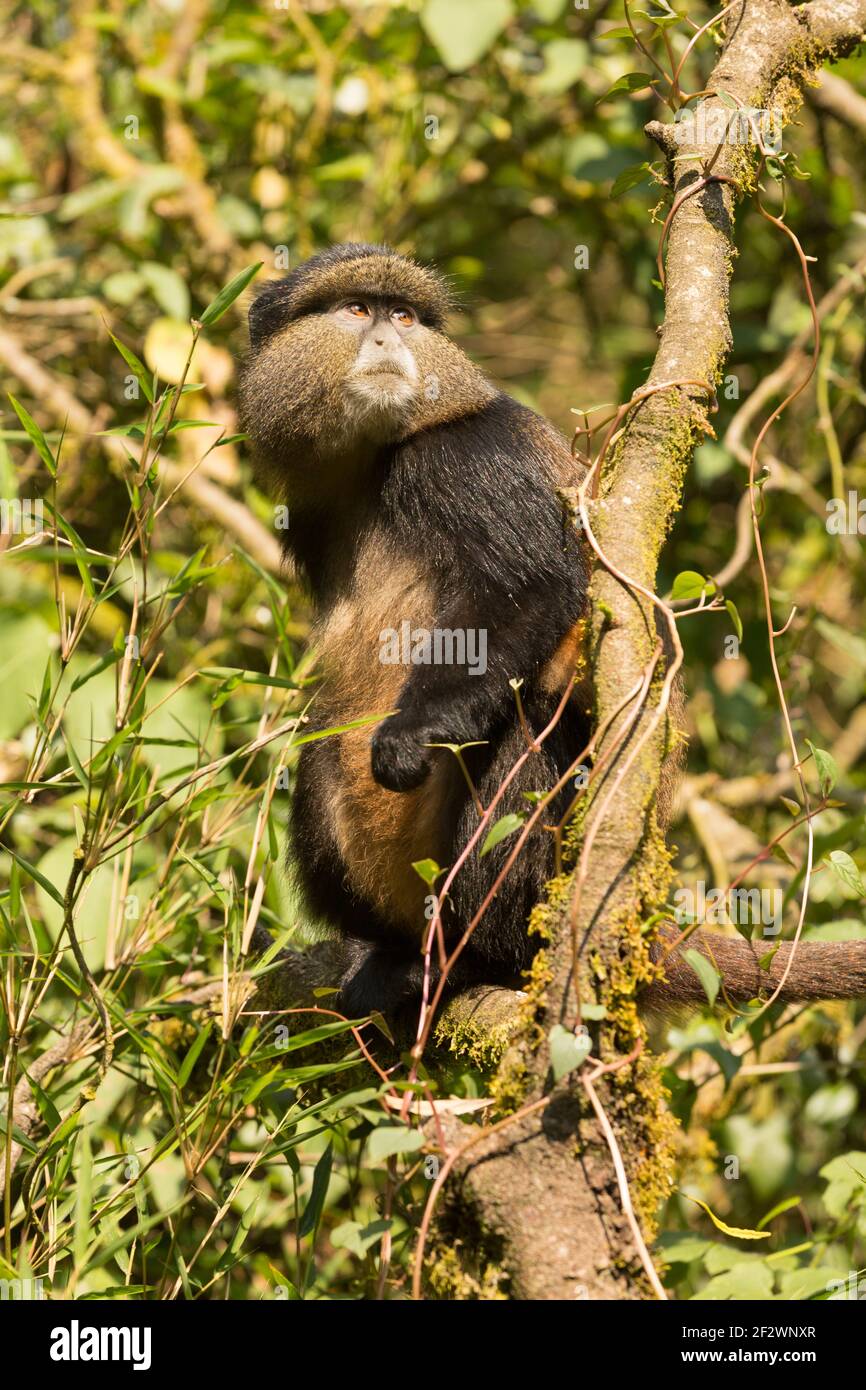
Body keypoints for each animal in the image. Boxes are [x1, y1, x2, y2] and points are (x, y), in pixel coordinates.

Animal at [239, 242, 866, 1020]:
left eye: (405, 315)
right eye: (357, 309)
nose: (388, 339)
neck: (376, 460)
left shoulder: (477, 453)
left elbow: (534, 593)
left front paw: (412, 735)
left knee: (527, 734)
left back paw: (467, 959)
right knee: (322, 744)